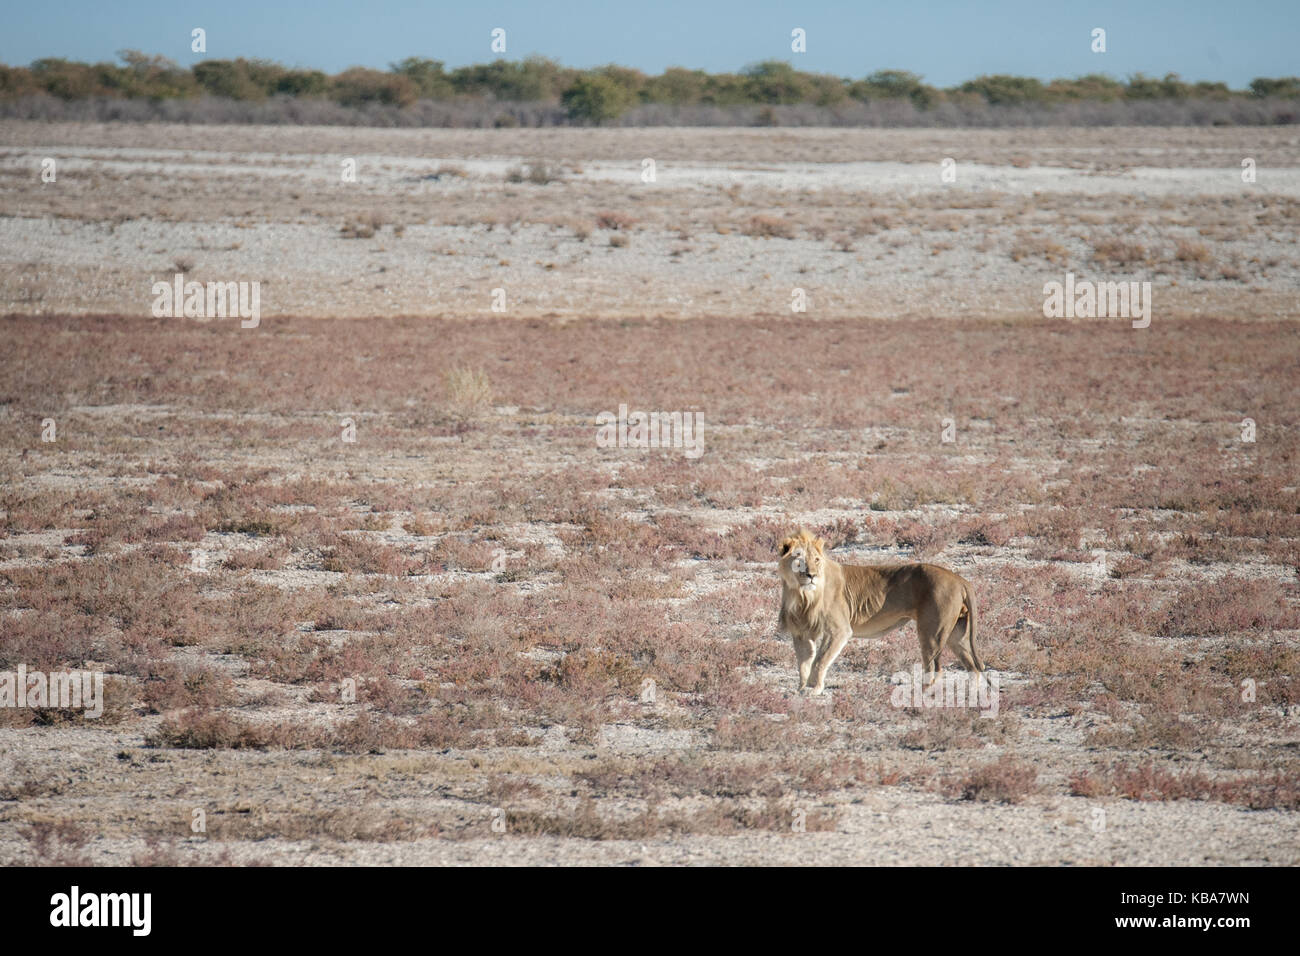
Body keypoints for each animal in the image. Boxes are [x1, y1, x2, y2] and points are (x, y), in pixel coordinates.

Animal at [776, 529, 984, 695]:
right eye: (799, 561)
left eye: (817, 560)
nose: (811, 575)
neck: (802, 595)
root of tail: (959, 579)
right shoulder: (801, 632)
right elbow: (804, 663)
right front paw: (801, 689)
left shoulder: (839, 630)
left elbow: (820, 660)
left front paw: (813, 689)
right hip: (956, 634)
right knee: (972, 667)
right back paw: (970, 697)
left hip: (931, 632)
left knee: (935, 668)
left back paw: (919, 694)